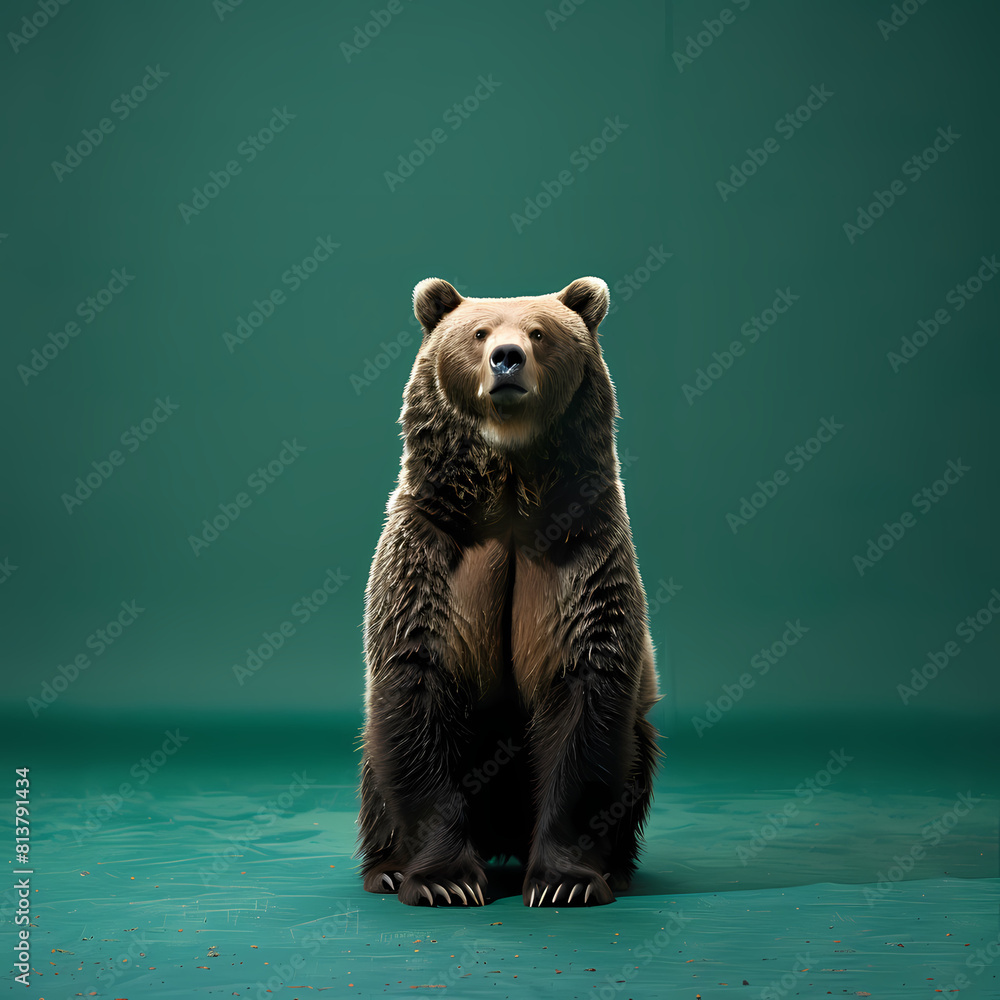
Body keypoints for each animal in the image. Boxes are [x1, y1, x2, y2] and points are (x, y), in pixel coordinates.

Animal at [357, 276, 660, 907]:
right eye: (478, 332)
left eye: (539, 333)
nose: (507, 358)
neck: (511, 492)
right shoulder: (433, 549)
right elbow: (418, 682)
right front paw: (444, 880)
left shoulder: (580, 552)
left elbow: (585, 697)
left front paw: (565, 882)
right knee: (378, 763)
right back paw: (387, 867)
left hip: (641, 739)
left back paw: (617, 868)